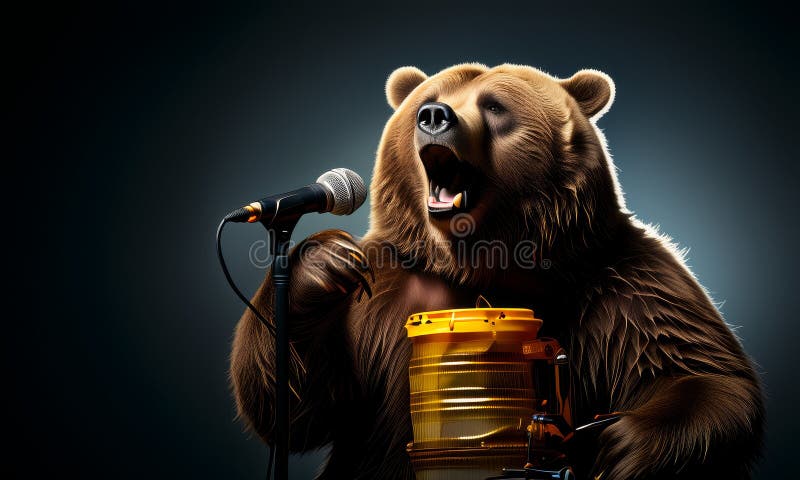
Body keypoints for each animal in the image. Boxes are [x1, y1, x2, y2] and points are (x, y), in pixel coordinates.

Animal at [230, 63, 764, 479]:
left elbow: (700, 371)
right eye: (429, 98)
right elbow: (303, 407)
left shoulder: (619, 282)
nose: (433, 117)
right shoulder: (384, 292)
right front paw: (323, 261)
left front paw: (621, 444)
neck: (486, 265)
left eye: (495, 106)